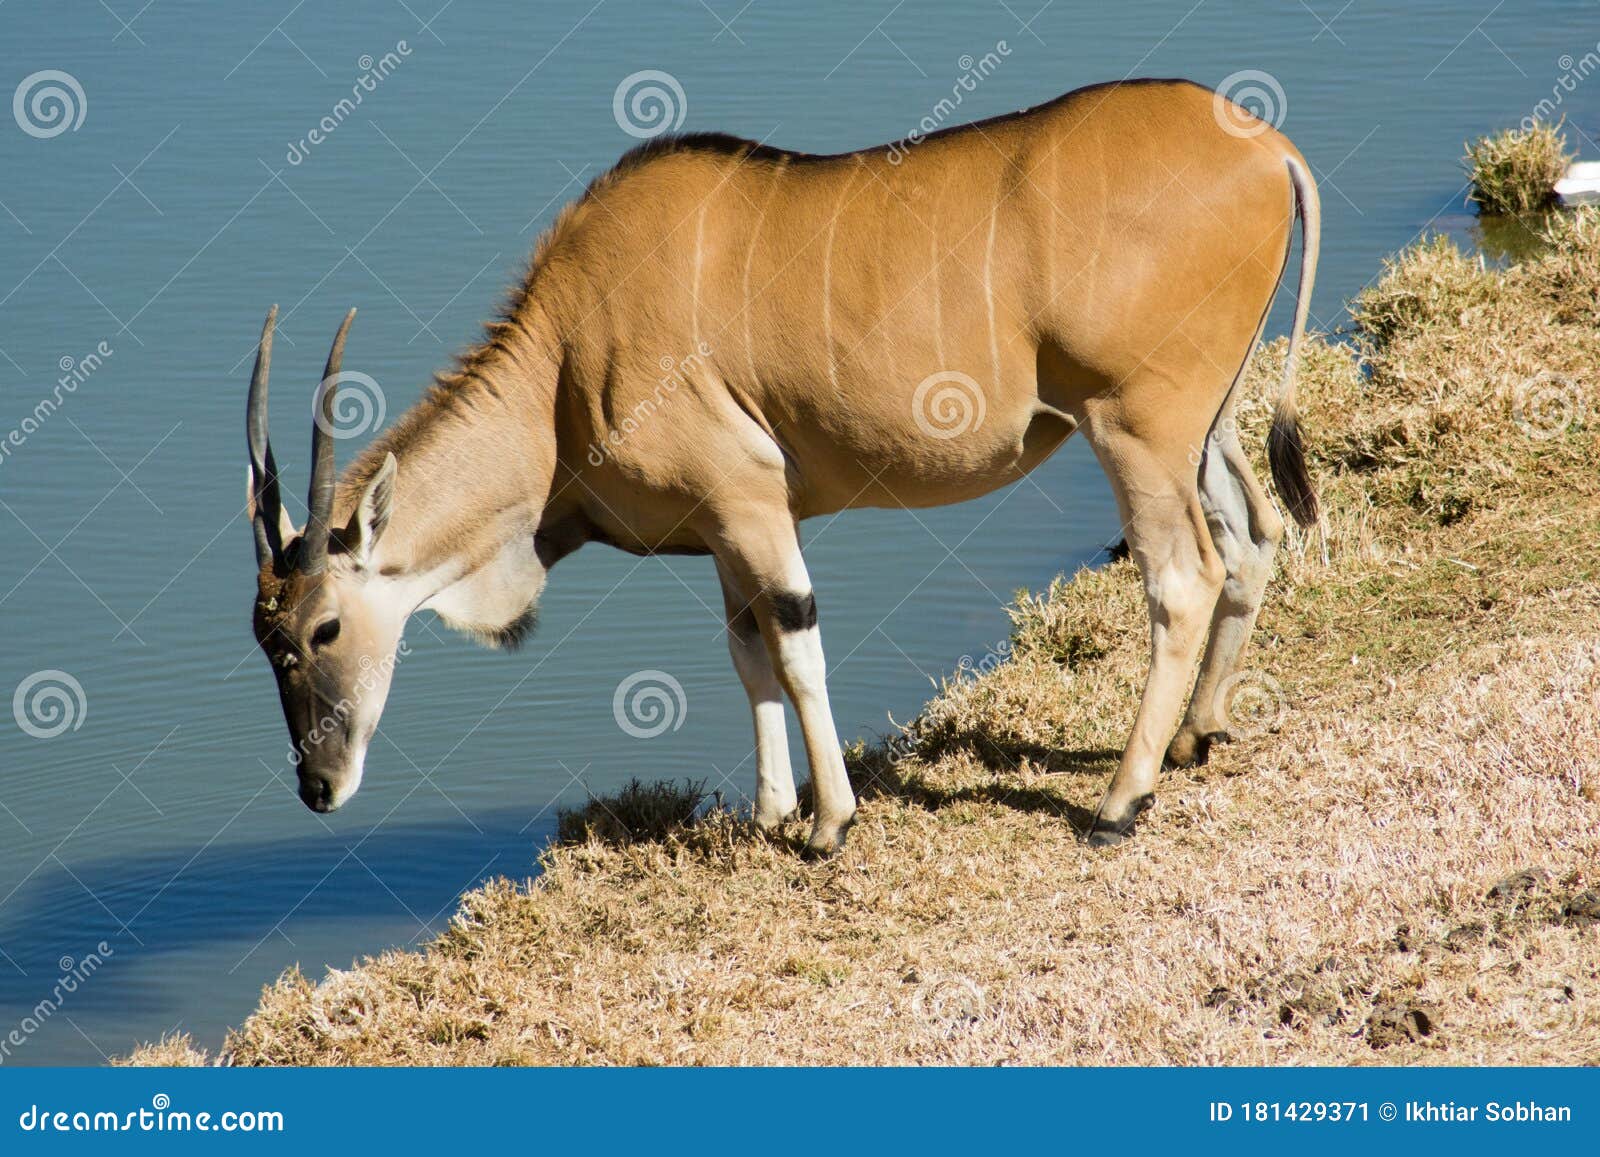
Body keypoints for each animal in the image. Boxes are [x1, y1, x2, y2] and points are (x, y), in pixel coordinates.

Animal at [246, 78, 1320, 856]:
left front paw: (829, 821)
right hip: (1201, 430)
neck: (565, 353)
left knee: (1183, 577)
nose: (316, 785)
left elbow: (796, 643)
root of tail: (1264, 147)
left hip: (1134, 430)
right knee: (1252, 537)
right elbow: (748, 650)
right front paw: (771, 811)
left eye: (322, 627)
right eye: (266, 640)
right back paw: (1194, 736)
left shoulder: (750, 504)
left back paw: (1118, 801)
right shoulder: (731, 529)